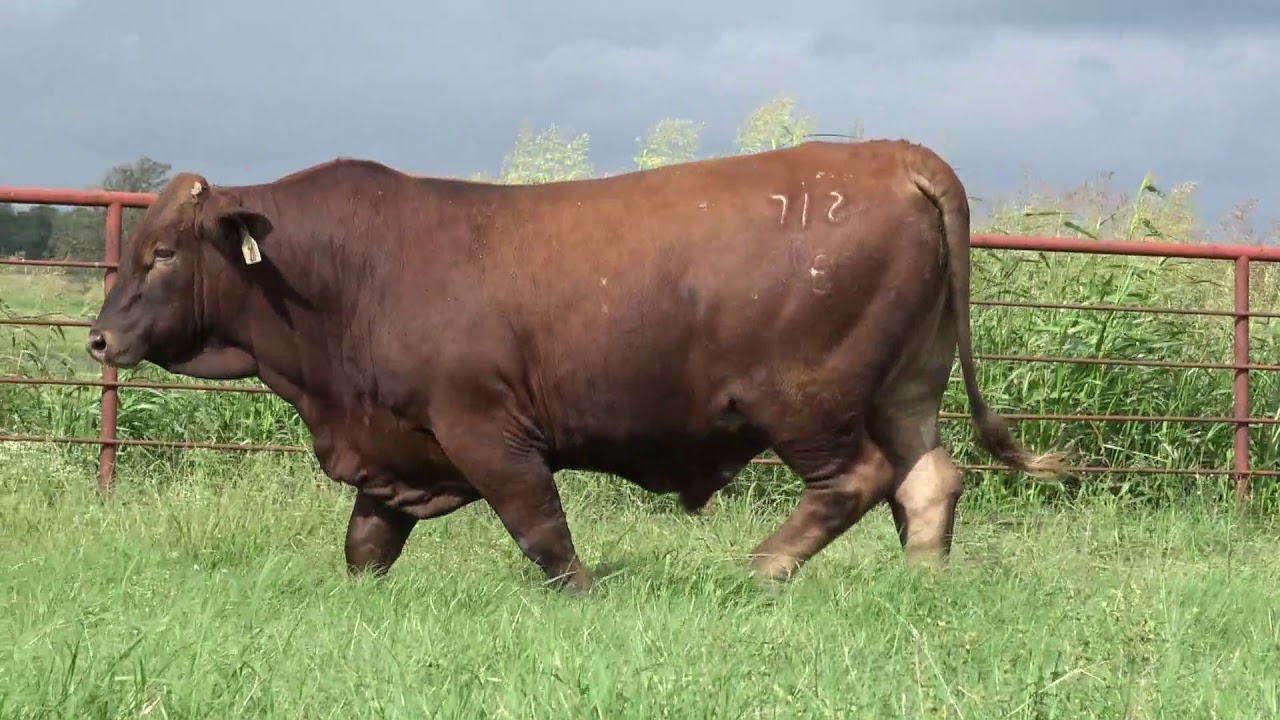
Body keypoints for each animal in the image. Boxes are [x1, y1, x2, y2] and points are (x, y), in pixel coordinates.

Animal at [86, 139, 1065, 591]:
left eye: (163, 253)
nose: (97, 340)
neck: (347, 275)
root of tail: (894, 155)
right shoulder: (396, 448)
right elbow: (366, 546)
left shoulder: (485, 429)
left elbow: (544, 534)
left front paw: (587, 596)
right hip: (908, 386)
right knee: (928, 480)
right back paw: (920, 582)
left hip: (806, 399)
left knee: (856, 480)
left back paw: (759, 568)